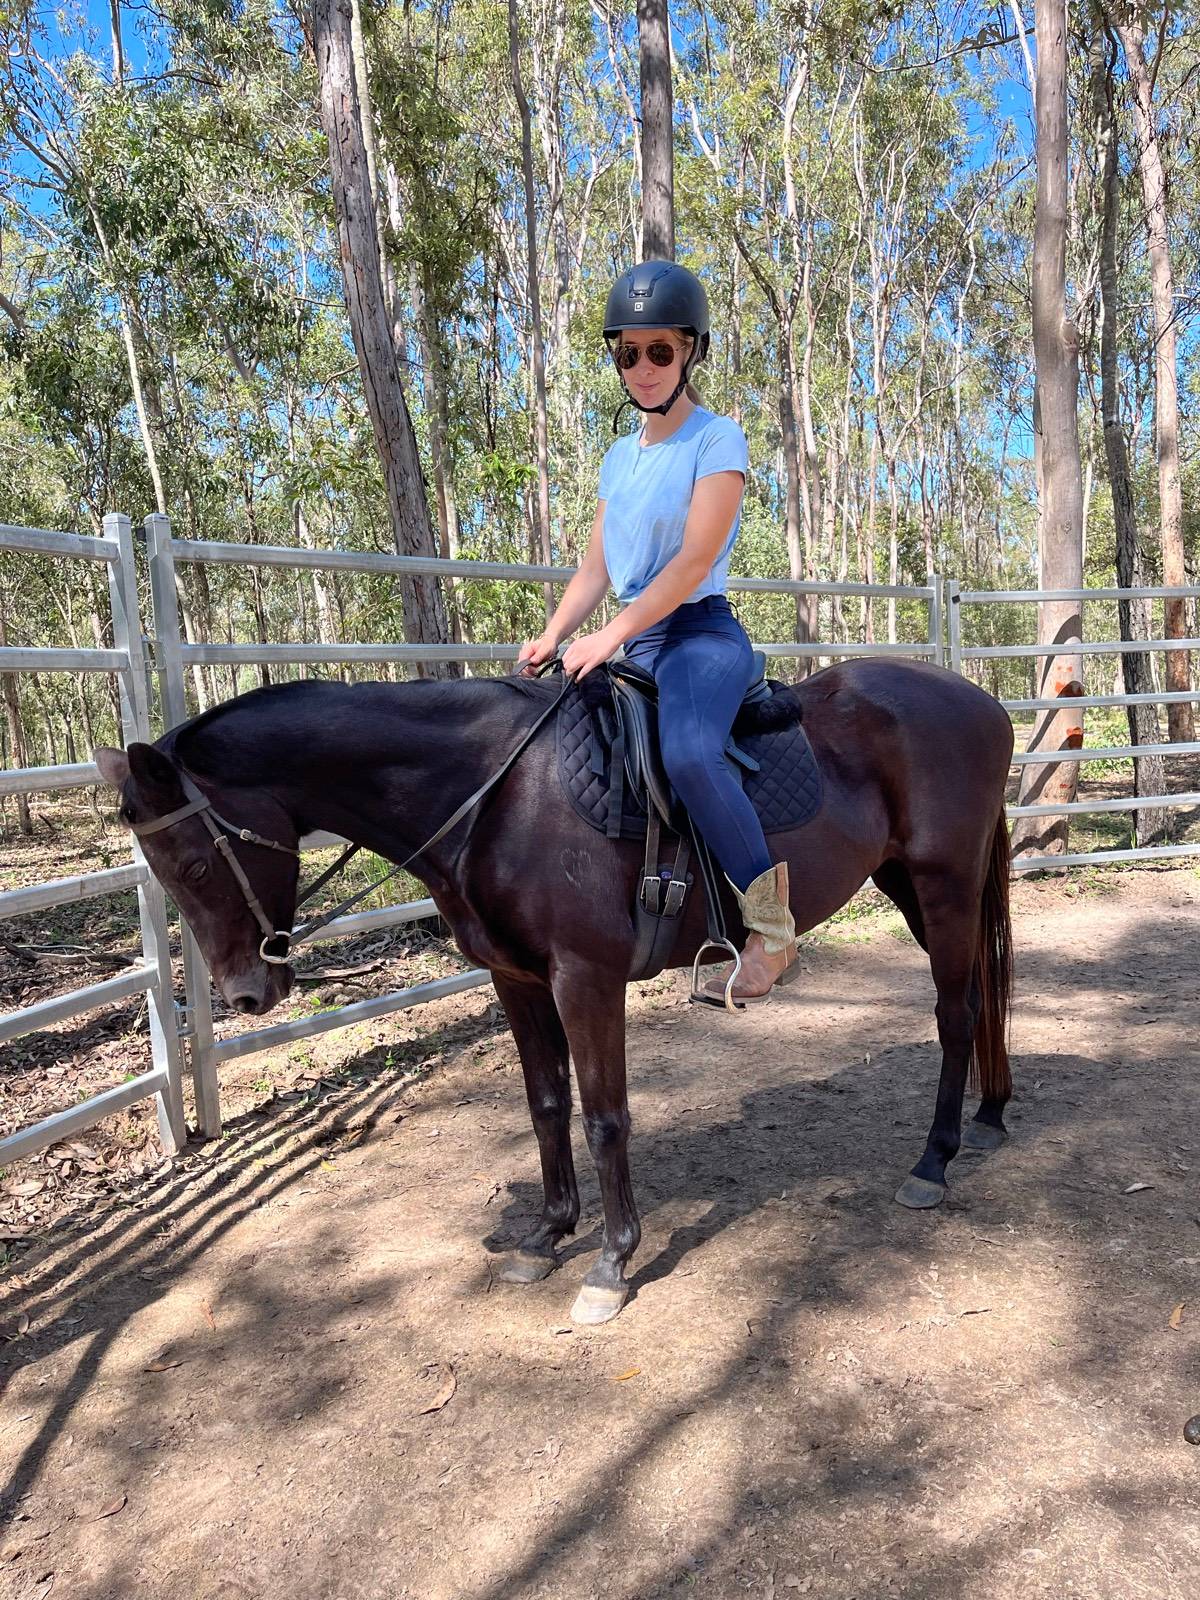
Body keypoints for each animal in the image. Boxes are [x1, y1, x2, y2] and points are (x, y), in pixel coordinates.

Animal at [95, 656, 1014, 1325]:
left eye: (197, 864)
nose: (247, 995)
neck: (492, 797)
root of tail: (978, 700)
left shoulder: (586, 978)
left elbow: (605, 1117)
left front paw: (611, 1261)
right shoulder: (517, 980)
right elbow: (544, 1104)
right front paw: (547, 1234)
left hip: (944, 884)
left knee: (956, 1012)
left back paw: (934, 1160)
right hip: (911, 884)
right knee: (980, 1005)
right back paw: (991, 1112)